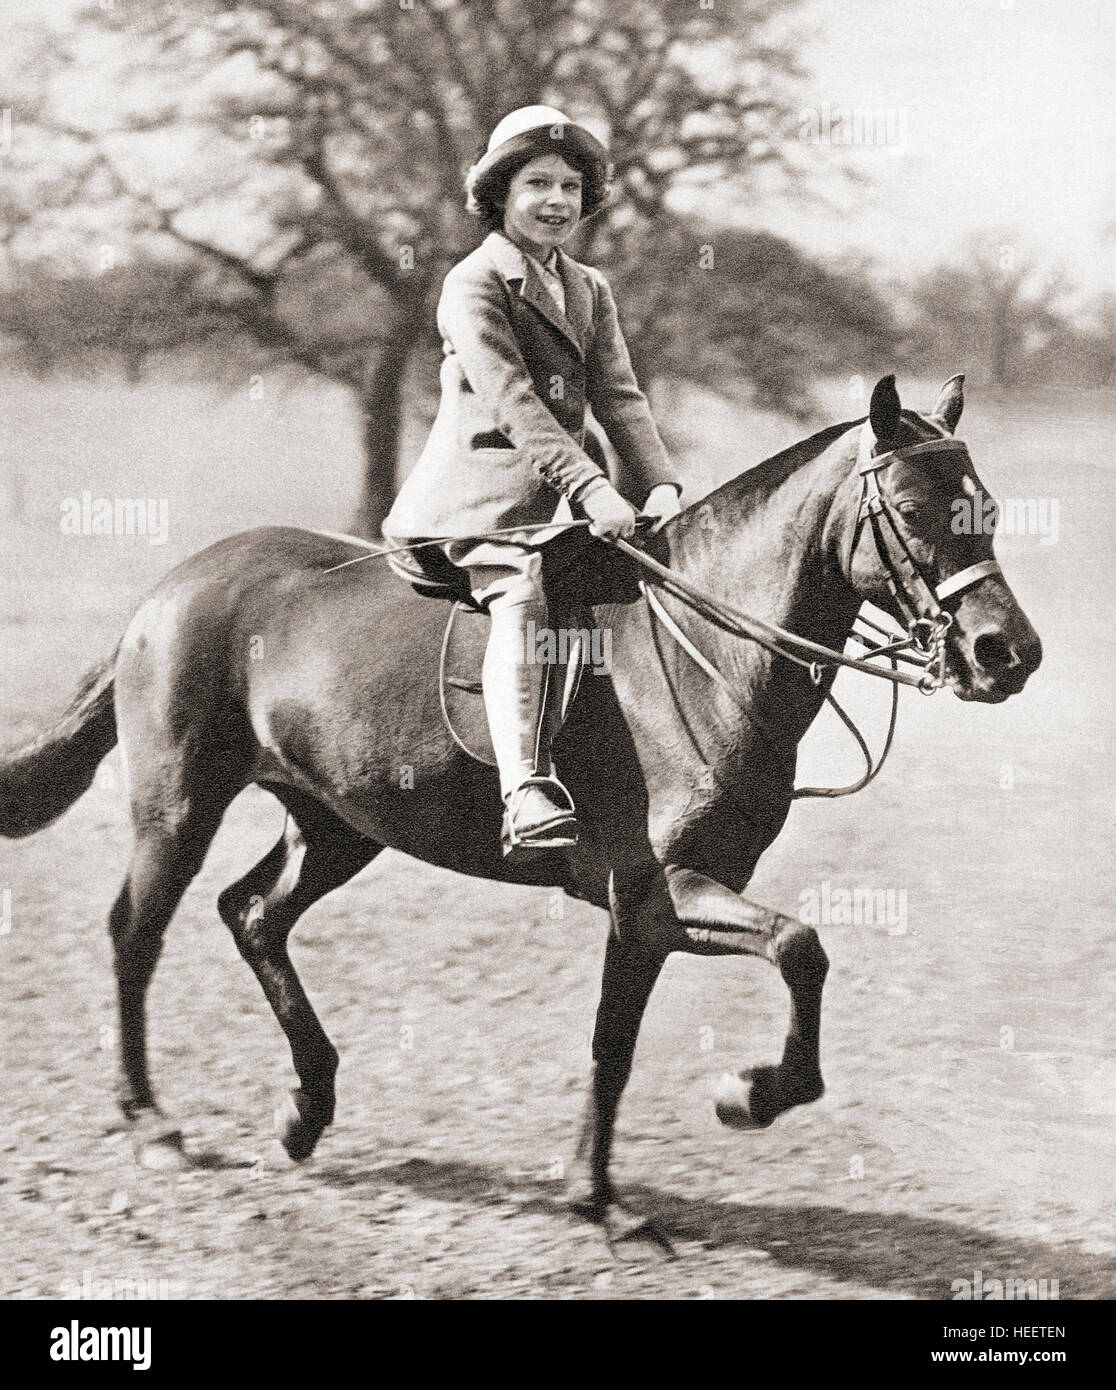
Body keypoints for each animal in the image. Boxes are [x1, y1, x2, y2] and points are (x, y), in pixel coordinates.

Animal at [0, 374, 1041, 1246]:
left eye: (985, 509)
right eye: (913, 511)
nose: (1008, 655)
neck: (707, 650)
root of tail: (172, 587)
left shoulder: (655, 912)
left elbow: (619, 1044)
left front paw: (601, 1194)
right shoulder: (660, 892)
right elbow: (796, 950)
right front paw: (741, 1100)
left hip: (337, 825)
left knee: (252, 914)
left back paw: (305, 1111)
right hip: (180, 805)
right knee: (137, 933)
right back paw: (153, 1123)